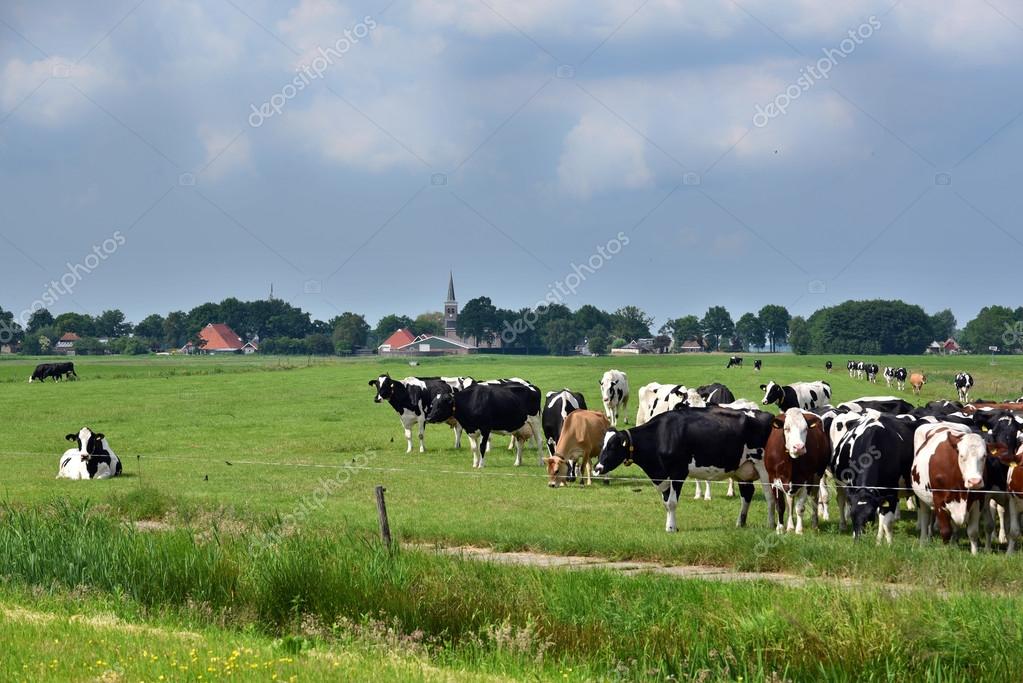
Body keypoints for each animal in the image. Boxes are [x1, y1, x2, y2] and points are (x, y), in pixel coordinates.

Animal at [593, 405, 776, 532]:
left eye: (613, 446)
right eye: (602, 444)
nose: (597, 468)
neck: (660, 435)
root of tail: (768, 415)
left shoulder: (678, 472)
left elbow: (672, 502)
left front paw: (671, 529)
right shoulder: (663, 475)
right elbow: (666, 502)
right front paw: (670, 525)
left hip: (763, 467)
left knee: (770, 496)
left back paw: (771, 524)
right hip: (742, 469)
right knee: (747, 494)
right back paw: (740, 523)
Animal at [912, 422, 1001, 554]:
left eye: (984, 456)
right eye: (962, 456)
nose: (974, 481)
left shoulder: (978, 500)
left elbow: (973, 532)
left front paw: (974, 554)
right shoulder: (939, 501)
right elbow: (945, 531)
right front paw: (945, 551)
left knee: (954, 526)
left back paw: (954, 544)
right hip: (921, 498)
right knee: (925, 517)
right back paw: (923, 543)